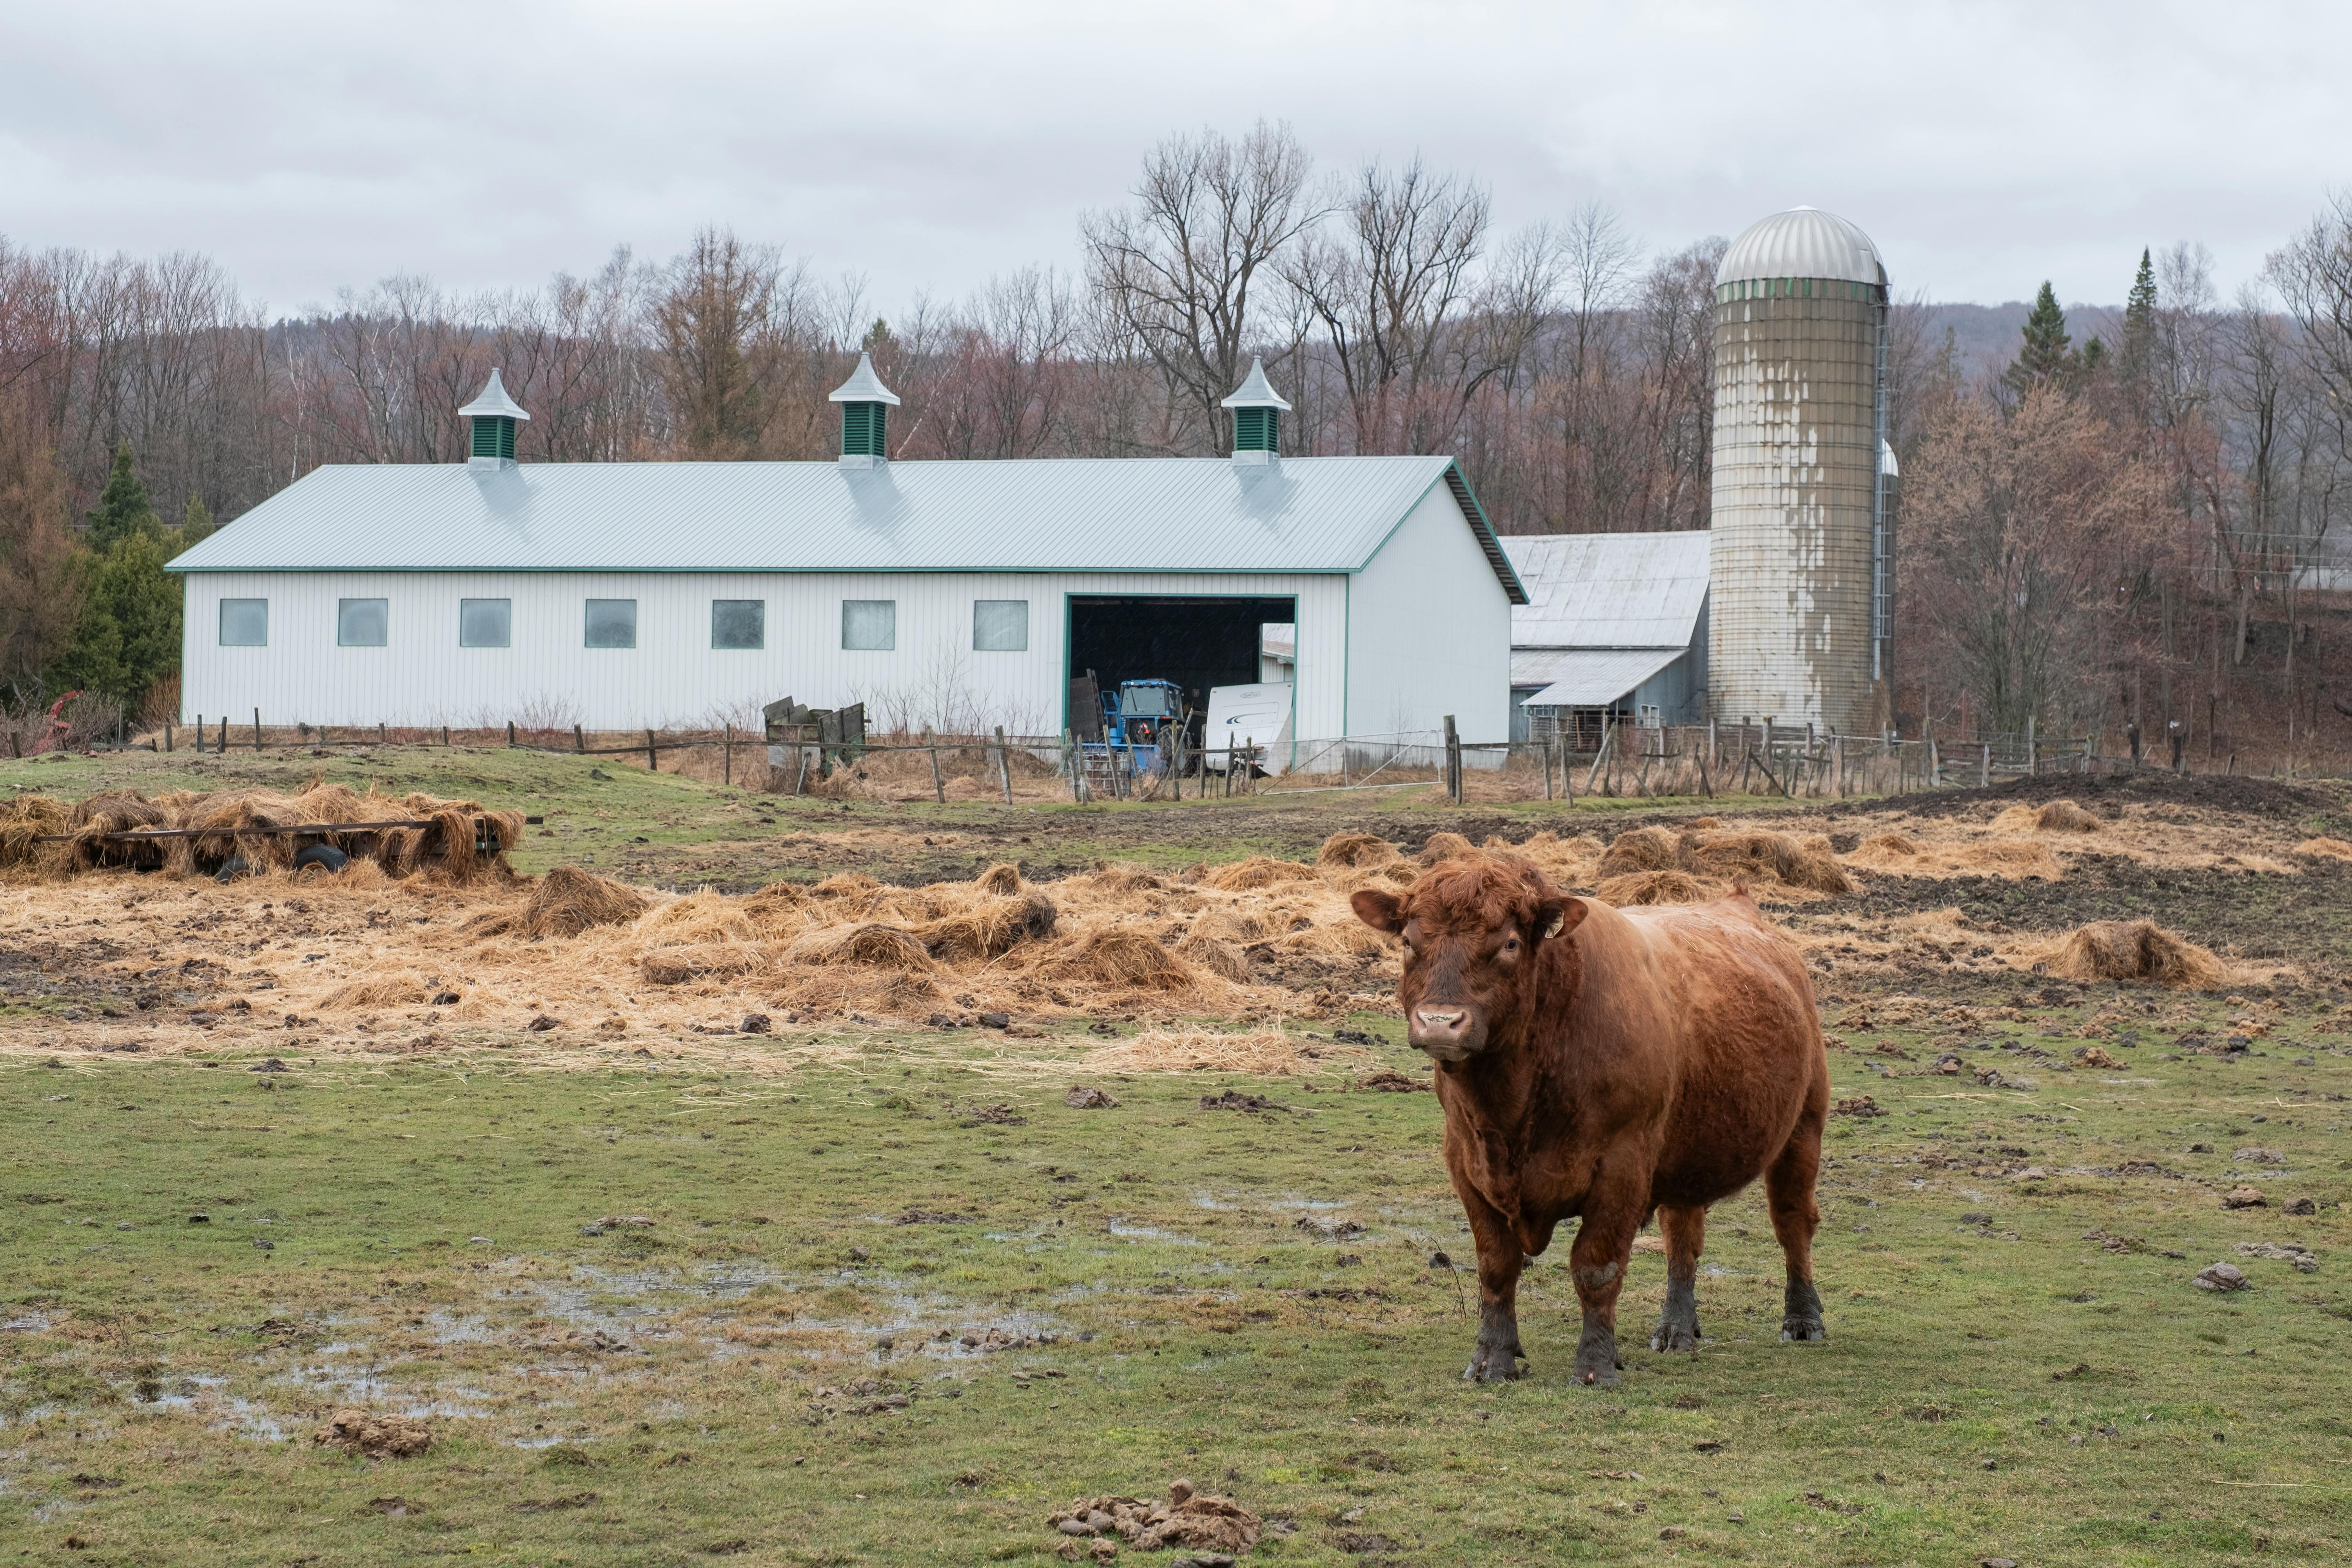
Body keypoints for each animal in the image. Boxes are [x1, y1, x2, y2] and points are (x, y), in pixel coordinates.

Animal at [1350, 851, 1829, 1385]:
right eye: (1408, 941)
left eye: (1510, 943)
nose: (1440, 1022)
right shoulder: (1467, 1162)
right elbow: (1496, 1265)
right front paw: (1492, 1360)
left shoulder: (1622, 1165)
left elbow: (1596, 1267)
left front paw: (1596, 1365)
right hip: (1686, 1149)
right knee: (1683, 1235)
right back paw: (1676, 1329)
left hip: (1804, 1127)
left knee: (1793, 1221)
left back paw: (1803, 1320)